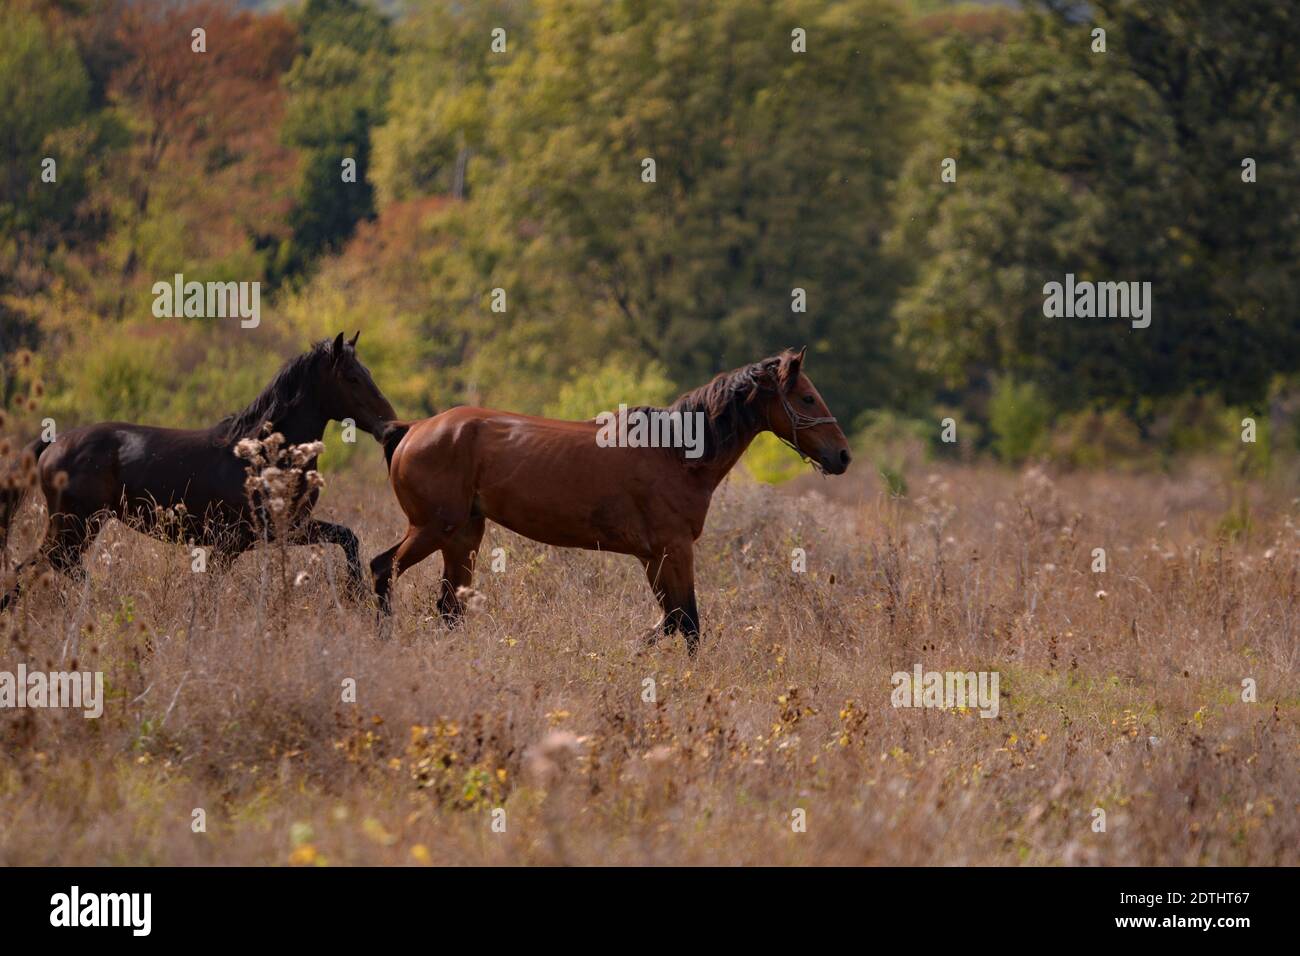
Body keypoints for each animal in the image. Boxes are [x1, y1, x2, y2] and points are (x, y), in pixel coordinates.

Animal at [0, 332, 396, 609]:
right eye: (351, 377)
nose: (390, 427)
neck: (262, 456)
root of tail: (54, 443)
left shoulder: (286, 528)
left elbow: (347, 536)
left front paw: (357, 596)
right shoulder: (233, 541)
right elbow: (210, 592)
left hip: (78, 526)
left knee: (41, 567)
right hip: (75, 524)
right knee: (46, 565)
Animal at [372, 347, 851, 654]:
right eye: (807, 397)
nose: (842, 456)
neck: (675, 453)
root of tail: (412, 430)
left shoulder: (653, 557)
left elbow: (674, 619)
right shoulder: (674, 549)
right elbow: (688, 622)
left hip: (463, 537)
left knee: (448, 606)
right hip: (434, 528)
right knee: (382, 569)